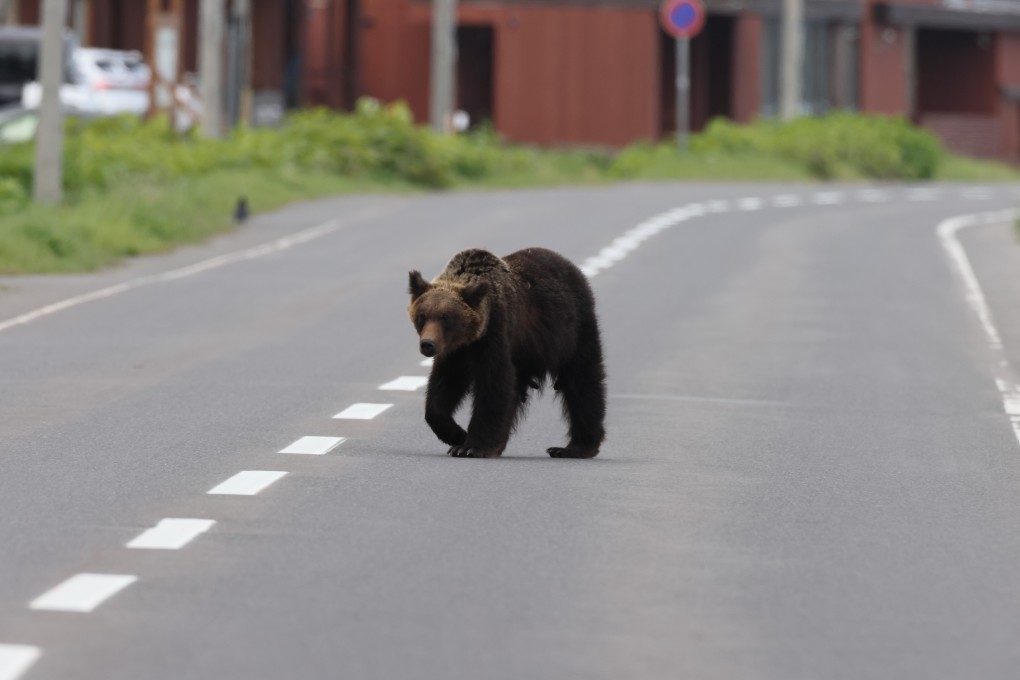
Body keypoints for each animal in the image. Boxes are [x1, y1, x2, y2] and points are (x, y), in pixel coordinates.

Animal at [407, 247, 606, 459]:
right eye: (422, 316)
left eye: (446, 318)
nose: (428, 344)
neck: (470, 338)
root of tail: (571, 266)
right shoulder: (455, 352)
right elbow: (444, 387)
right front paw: (457, 435)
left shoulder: (495, 333)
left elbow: (494, 384)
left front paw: (471, 446)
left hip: (572, 332)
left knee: (582, 382)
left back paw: (574, 447)